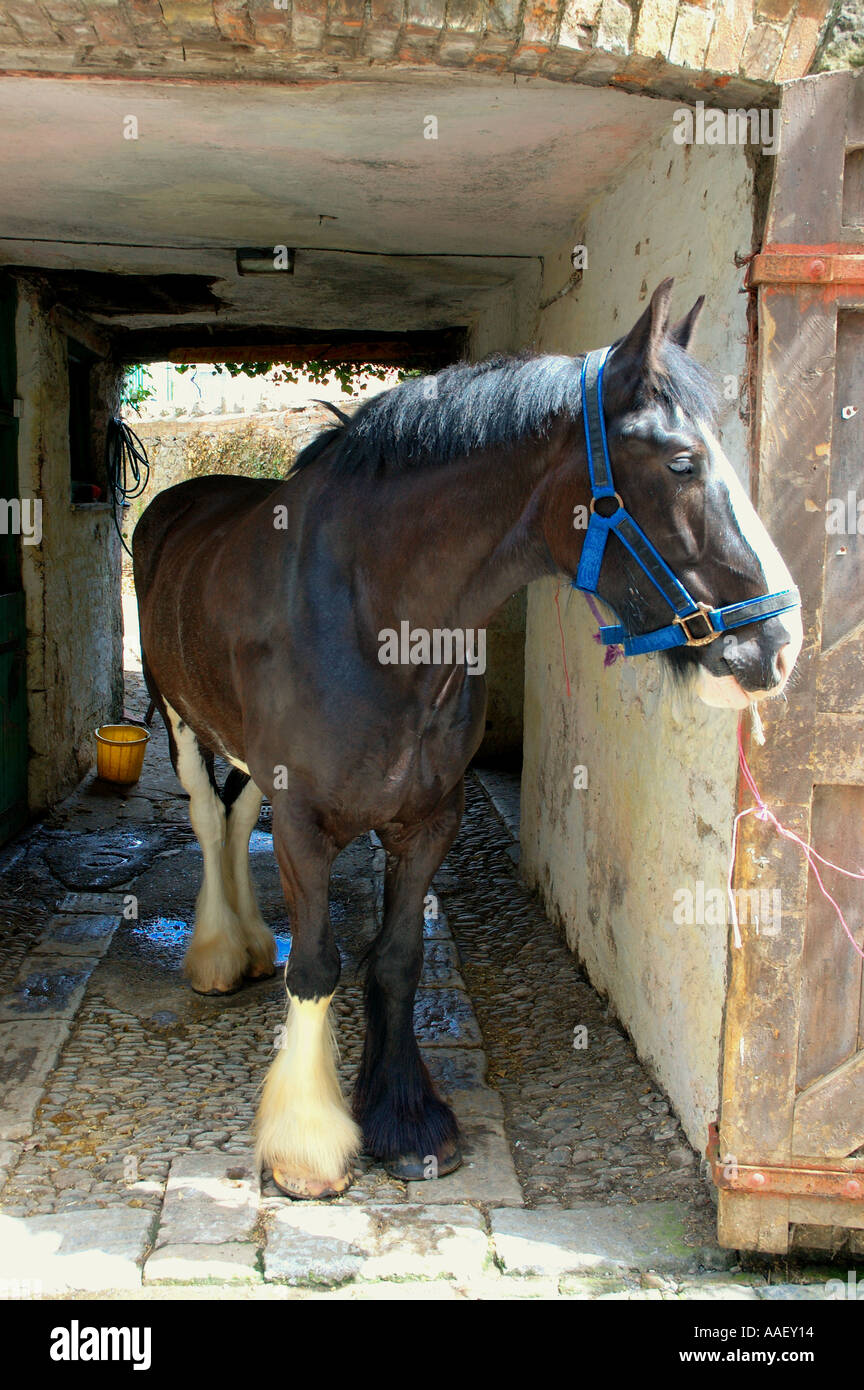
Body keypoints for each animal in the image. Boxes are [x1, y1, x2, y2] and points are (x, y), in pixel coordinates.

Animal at [132, 279, 803, 1199]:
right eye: (681, 464)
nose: (779, 647)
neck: (371, 616)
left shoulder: (430, 816)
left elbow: (396, 958)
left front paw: (406, 1119)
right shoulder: (304, 820)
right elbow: (320, 964)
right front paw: (308, 1142)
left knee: (235, 820)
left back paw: (244, 948)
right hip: (178, 715)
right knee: (207, 817)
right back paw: (215, 953)